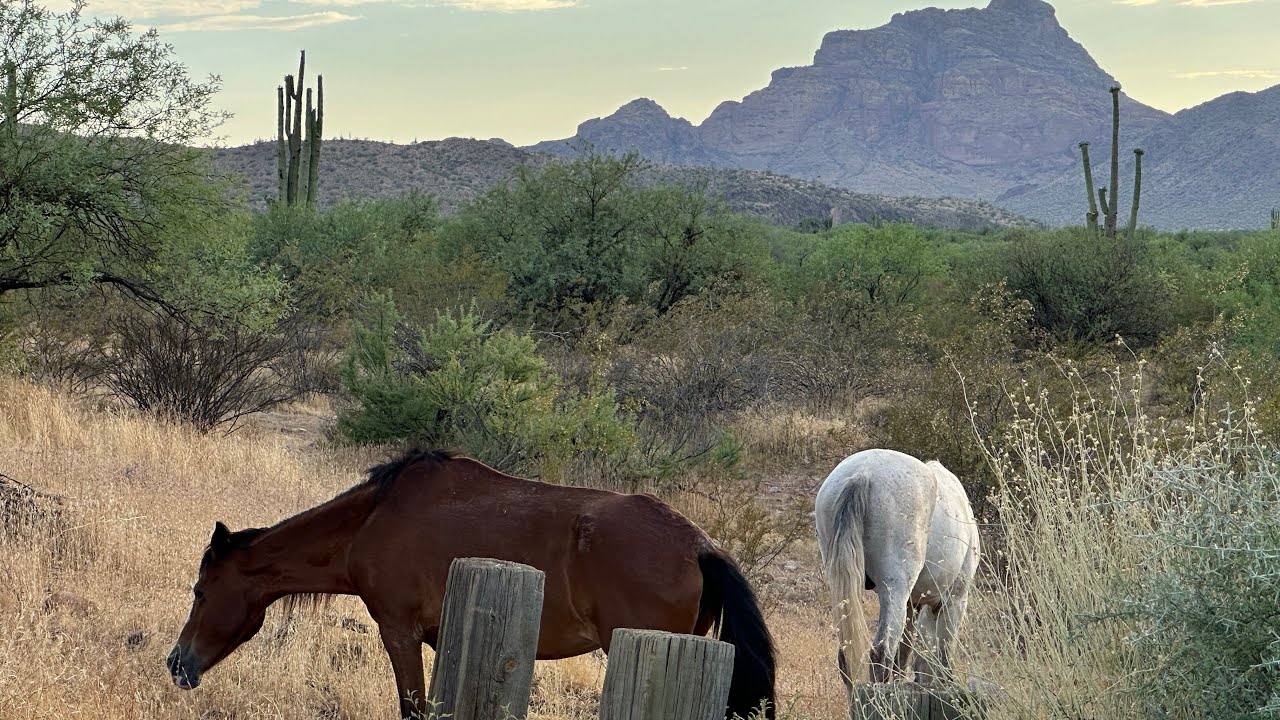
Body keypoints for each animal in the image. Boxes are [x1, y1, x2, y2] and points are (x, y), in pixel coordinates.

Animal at [813, 448, 980, 697]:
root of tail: (863, 473)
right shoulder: (955, 600)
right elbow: (943, 655)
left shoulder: (912, 605)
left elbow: (904, 654)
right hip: (897, 590)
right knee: (881, 652)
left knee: (848, 658)